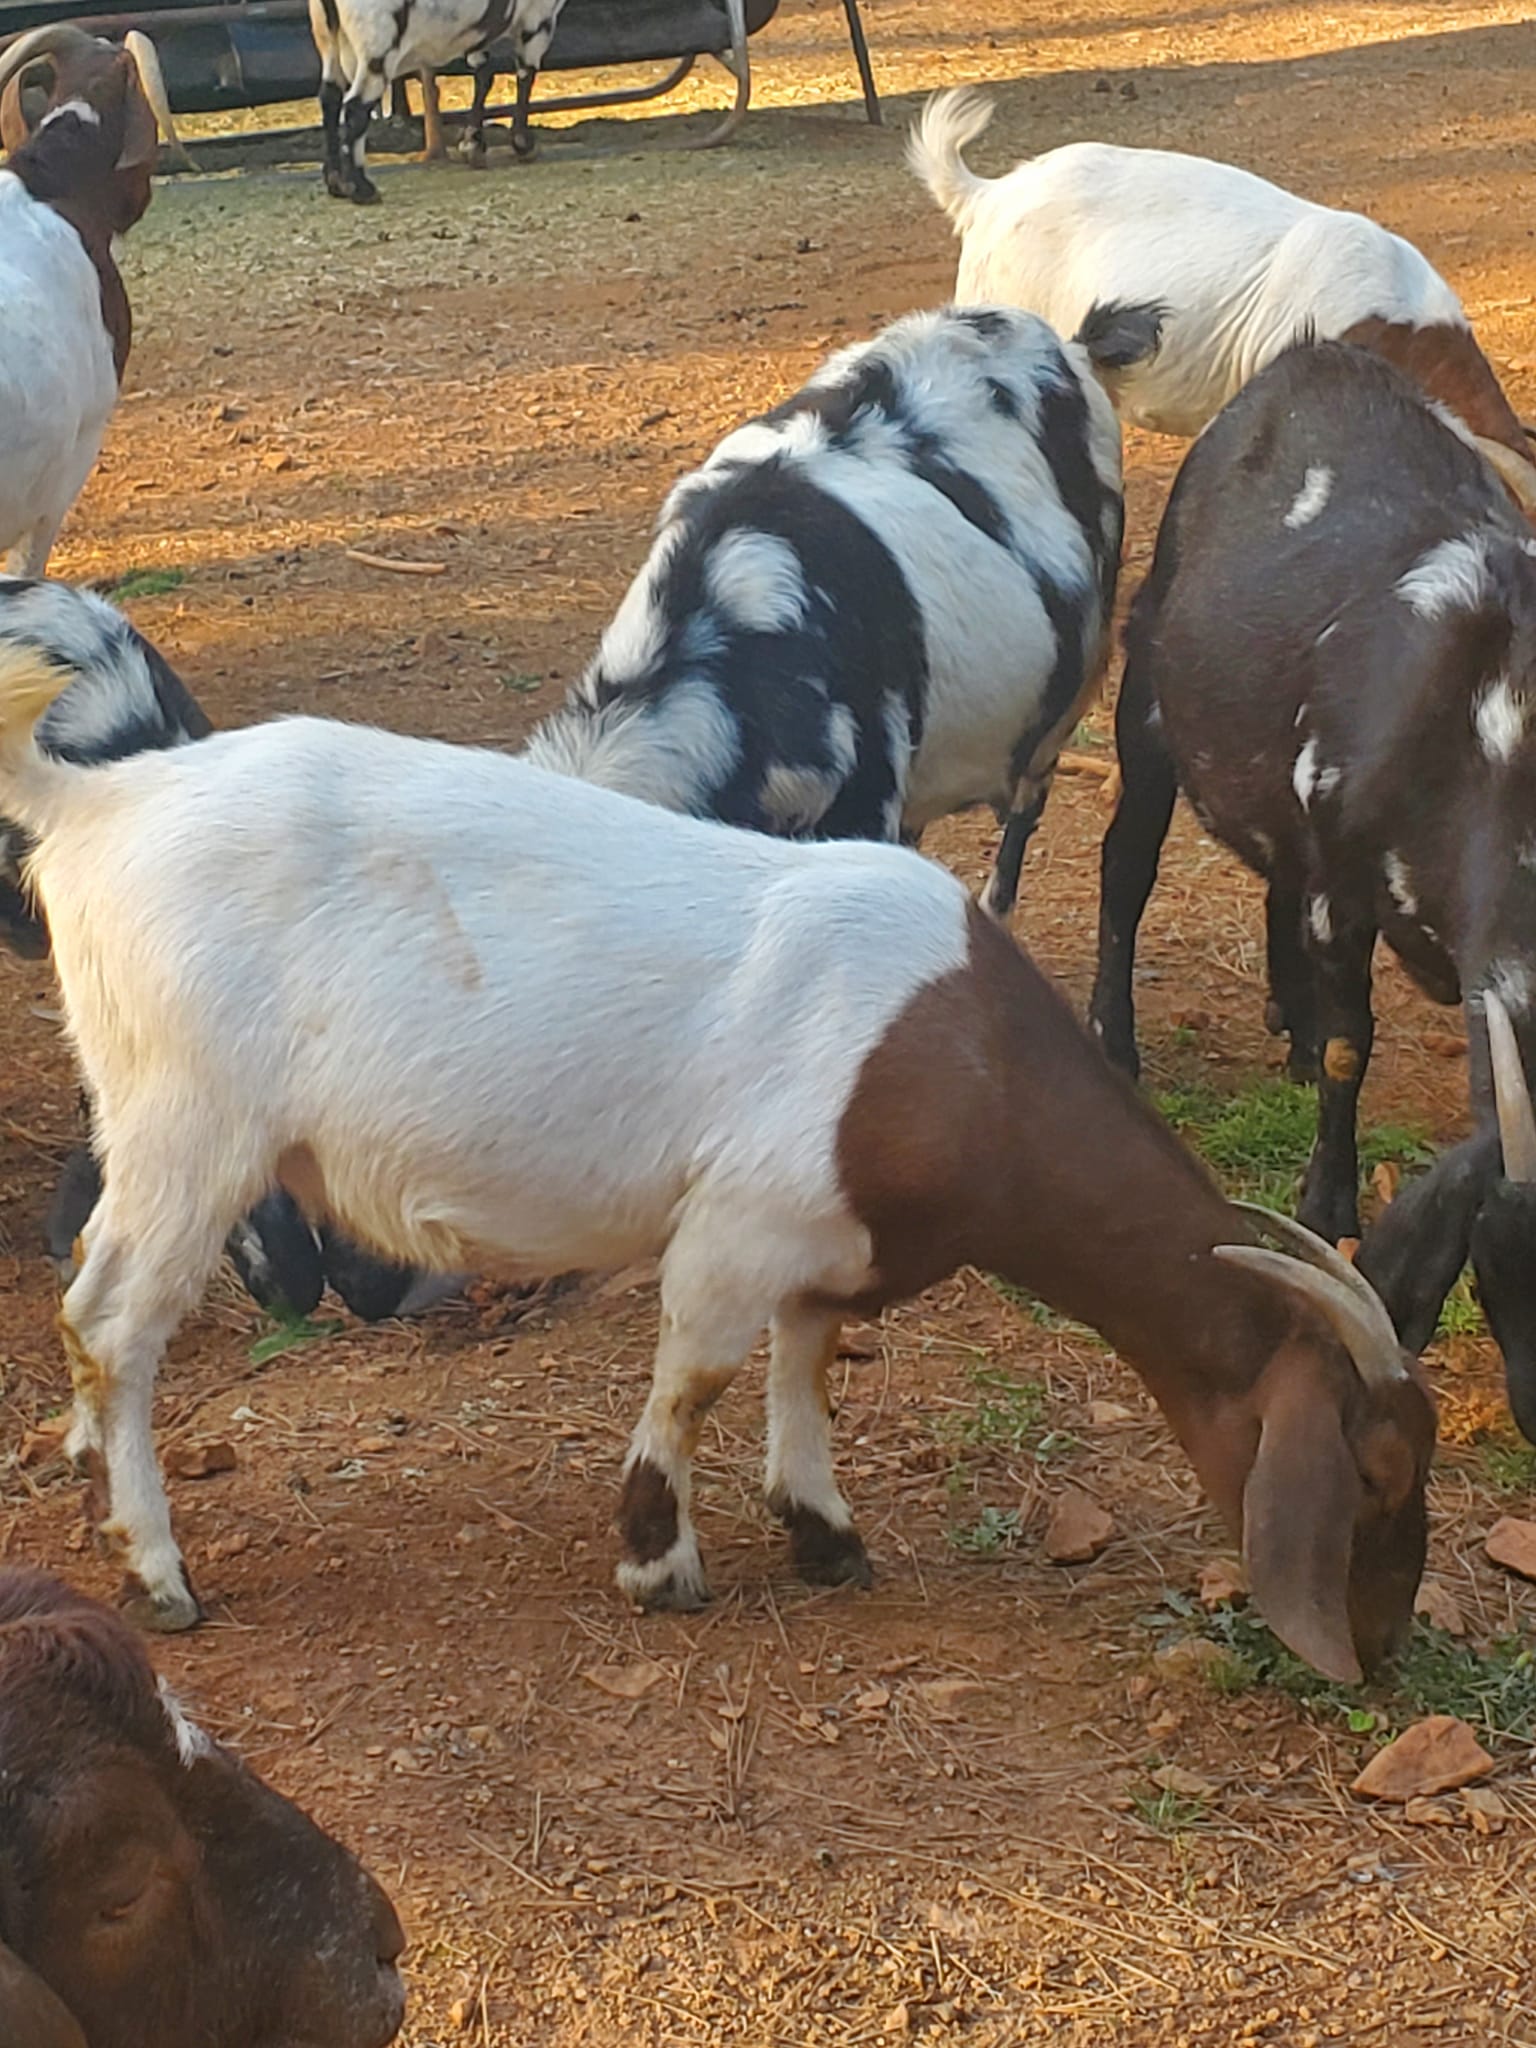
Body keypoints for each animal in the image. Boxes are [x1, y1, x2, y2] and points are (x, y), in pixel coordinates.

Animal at [0, 657, 1434, 1680]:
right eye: (1373, 1473)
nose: (1378, 1649)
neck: (956, 1049)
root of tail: (101, 798)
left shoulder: (828, 1238)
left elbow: (808, 1360)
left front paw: (823, 1531)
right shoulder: (736, 1224)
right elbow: (695, 1375)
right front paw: (659, 1562)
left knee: (89, 1303)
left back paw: (86, 1472)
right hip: (194, 1122)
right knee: (115, 1321)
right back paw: (158, 1572)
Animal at [309, 0, 567, 204]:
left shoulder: (479, 31)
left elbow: (483, 75)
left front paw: (472, 143)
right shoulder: (539, 17)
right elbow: (526, 74)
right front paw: (523, 143)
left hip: (328, 40)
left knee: (330, 98)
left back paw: (336, 182)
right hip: (377, 46)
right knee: (356, 108)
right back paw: (361, 188)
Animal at [1088, 339, 1536, 1434]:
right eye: (1514, 1252)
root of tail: (1311, 360)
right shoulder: (1344, 870)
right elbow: (1350, 1044)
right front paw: (1326, 1209)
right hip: (1149, 701)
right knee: (1128, 870)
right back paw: (1116, 1040)